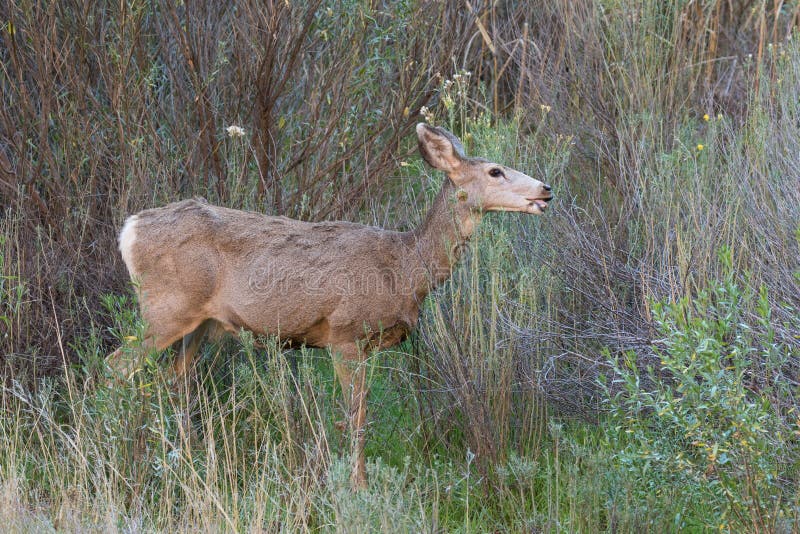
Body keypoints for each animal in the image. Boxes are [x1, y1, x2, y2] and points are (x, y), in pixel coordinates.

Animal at [108, 123, 553, 488]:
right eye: (495, 171)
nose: (546, 189)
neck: (403, 267)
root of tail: (129, 229)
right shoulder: (345, 334)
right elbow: (356, 415)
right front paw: (358, 485)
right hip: (164, 309)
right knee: (115, 367)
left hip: (200, 324)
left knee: (170, 380)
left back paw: (181, 456)